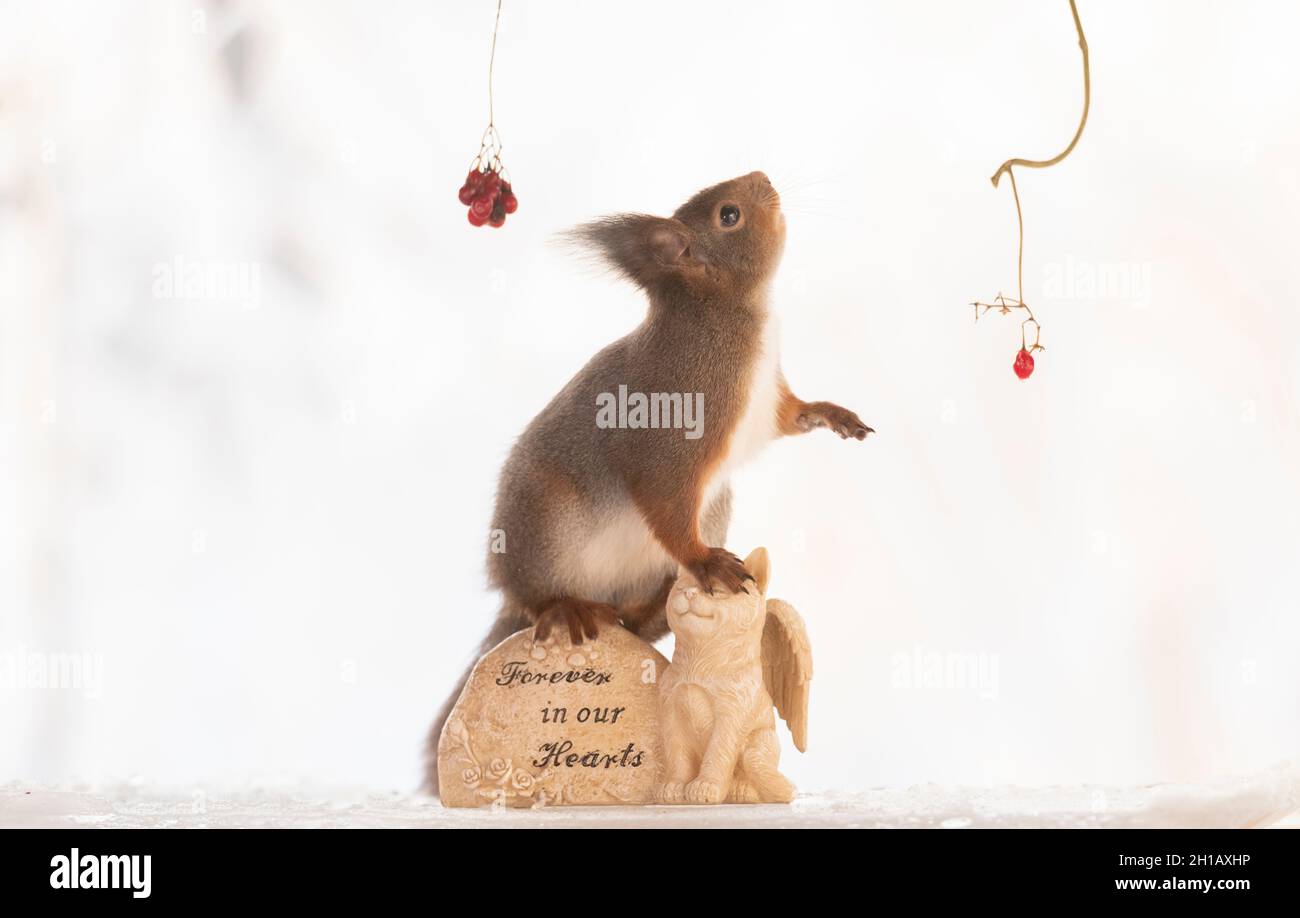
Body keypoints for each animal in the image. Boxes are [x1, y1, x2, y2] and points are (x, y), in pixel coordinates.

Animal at [424, 171, 870, 794]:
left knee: (638, 617)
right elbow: (664, 502)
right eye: (729, 215)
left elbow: (793, 416)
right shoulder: (670, 439)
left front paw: (833, 414)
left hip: (715, 506)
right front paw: (704, 561)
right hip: (544, 524)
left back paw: (648, 611)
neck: (728, 317)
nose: (764, 178)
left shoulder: (767, 407)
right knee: (535, 597)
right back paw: (565, 607)